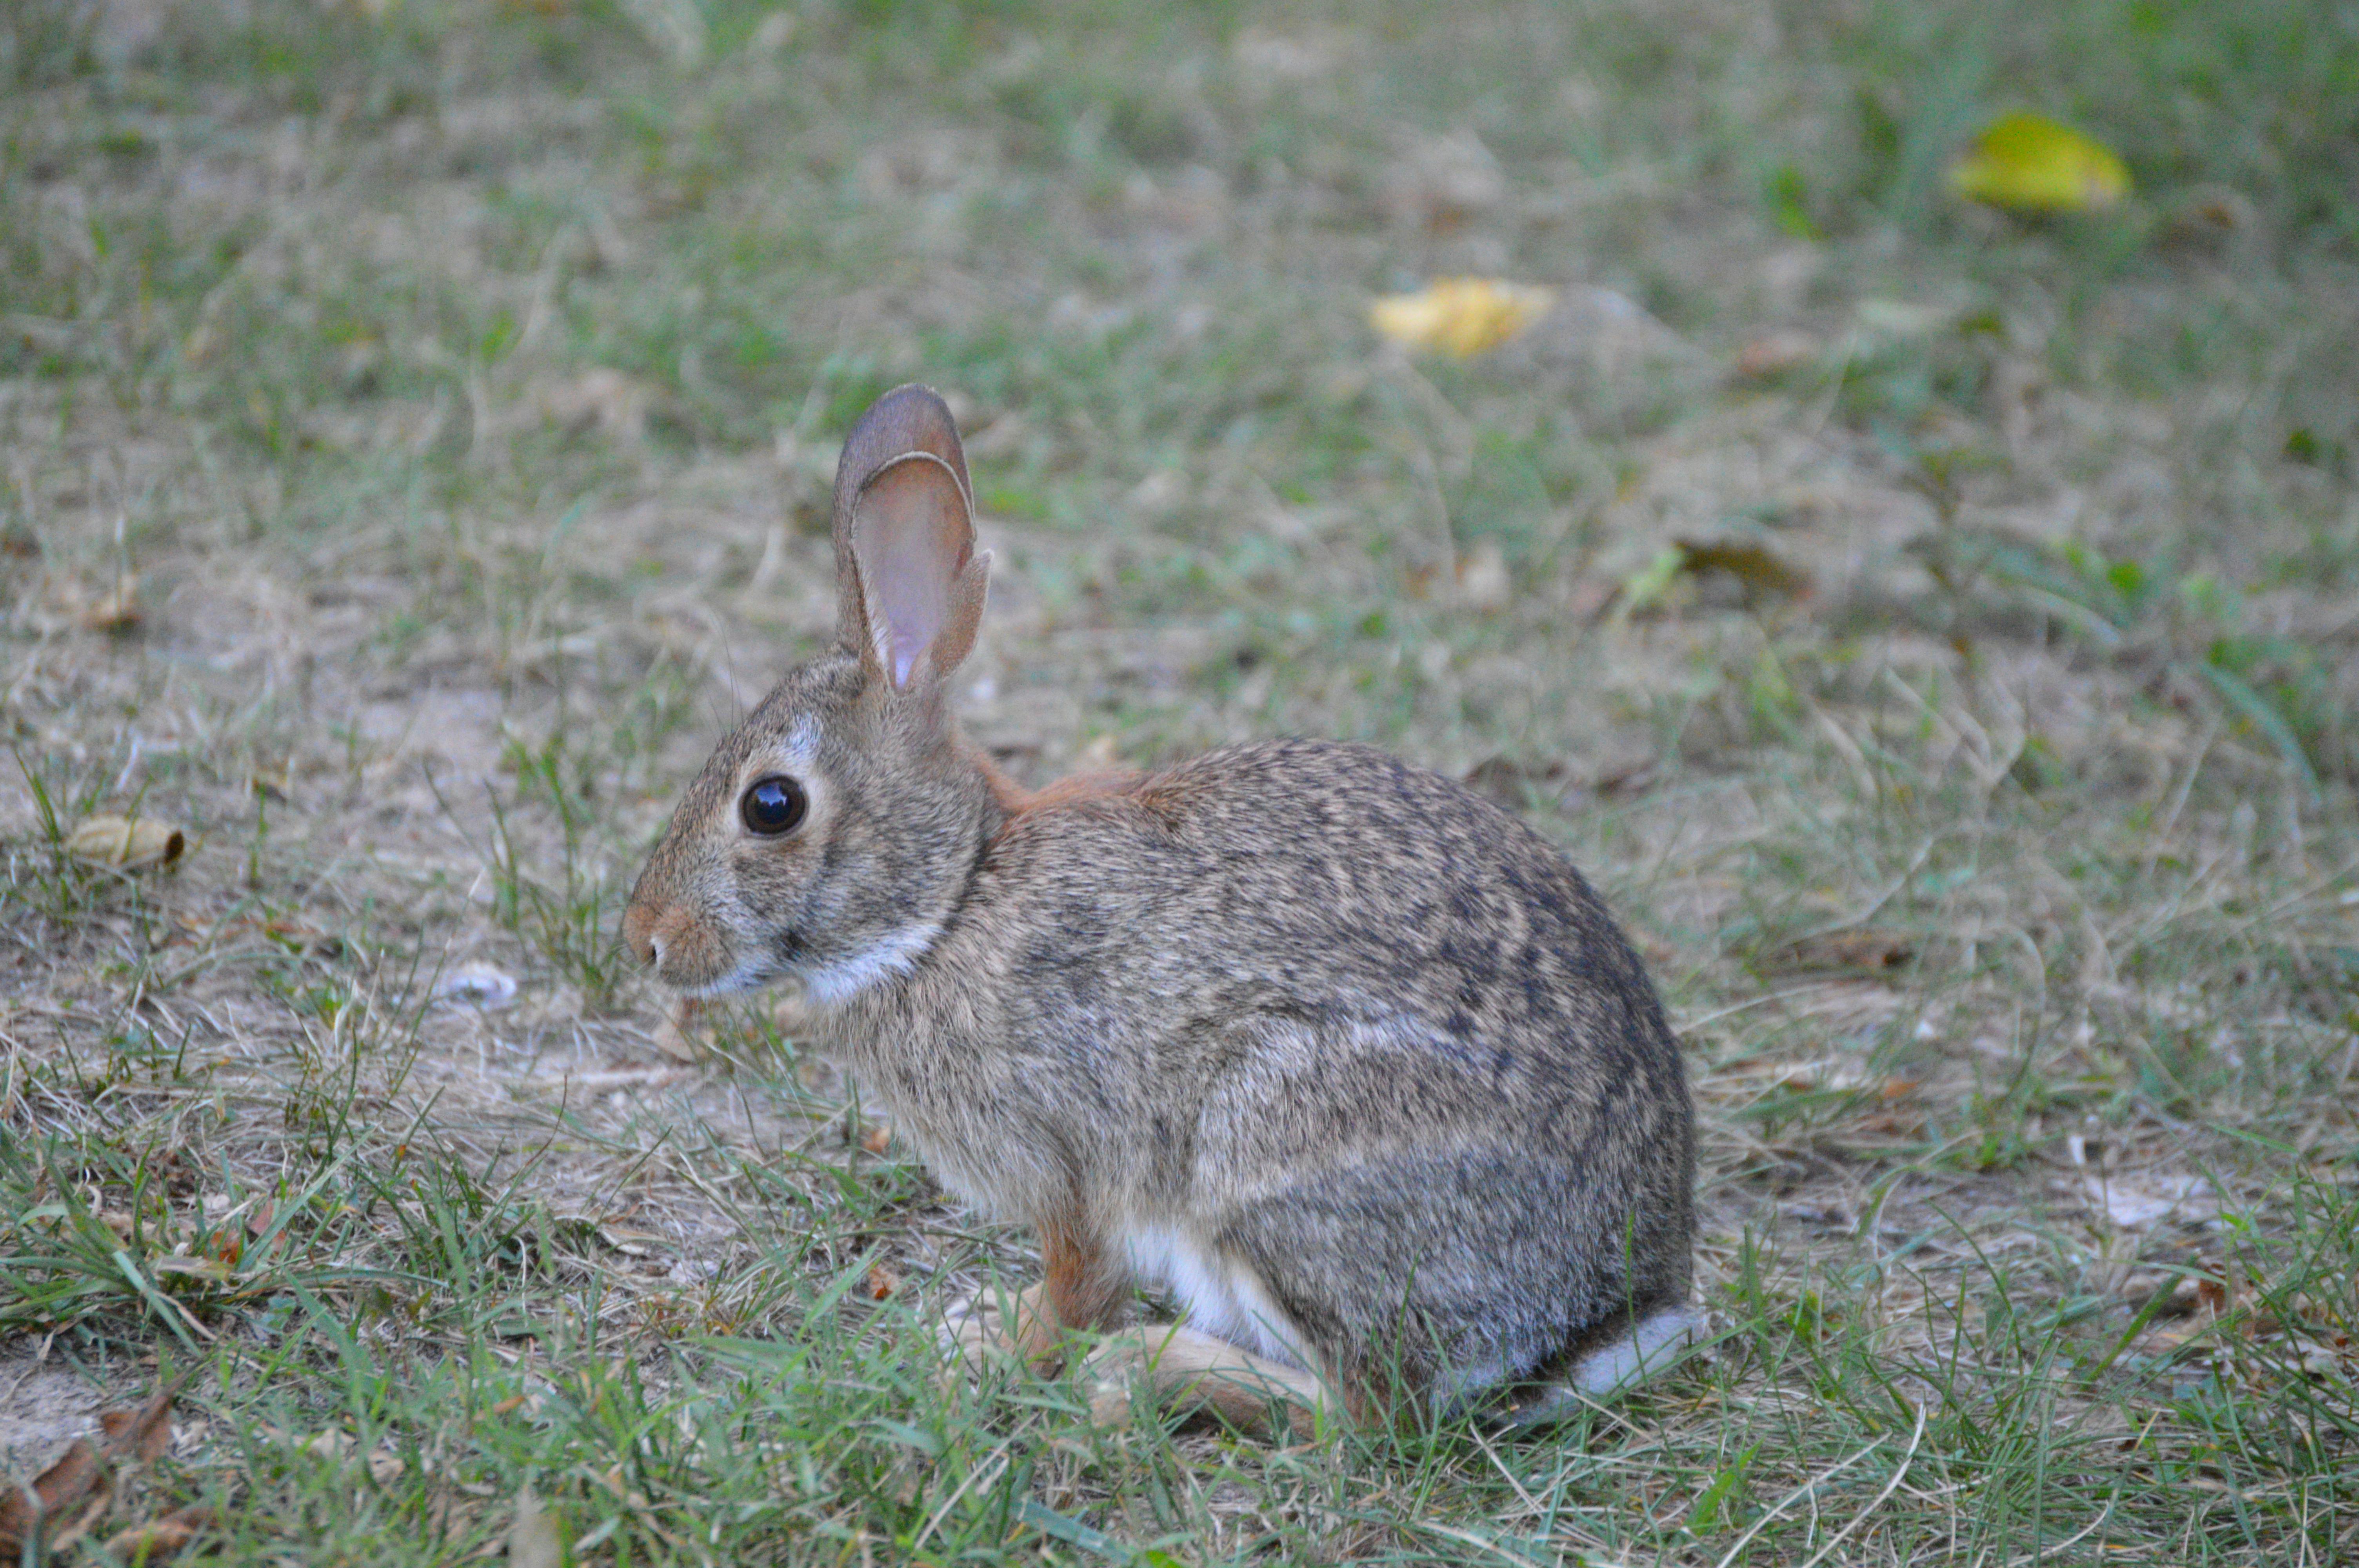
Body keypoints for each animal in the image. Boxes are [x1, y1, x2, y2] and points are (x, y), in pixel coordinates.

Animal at [623, 384, 1698, 1436]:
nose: (645, 941)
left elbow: (1076, 1287)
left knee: (1367, 1417)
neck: (952, 900)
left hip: (1267, 1150)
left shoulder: (1063, 1160)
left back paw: (1145, 1374)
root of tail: (1608, 1310)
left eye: (771, 805)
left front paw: (984, 1346)